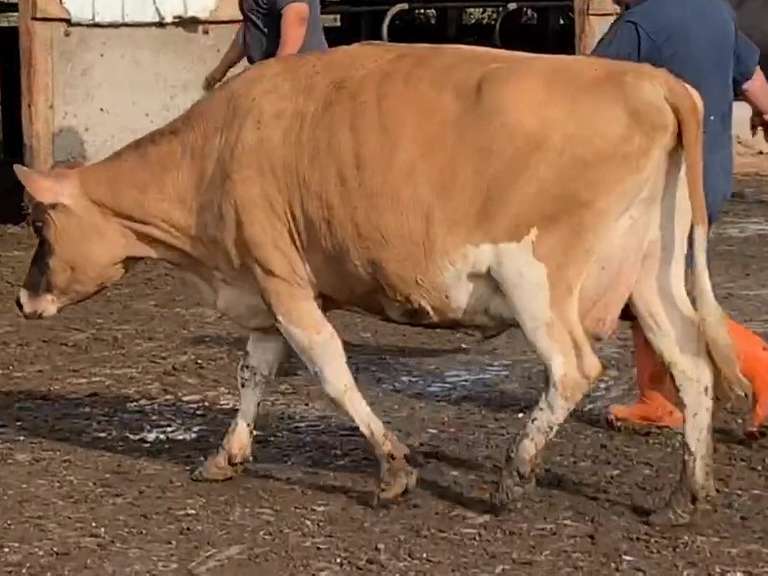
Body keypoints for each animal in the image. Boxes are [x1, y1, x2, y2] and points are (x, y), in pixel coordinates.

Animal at [11, 41, 751, 525]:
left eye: (40, 224)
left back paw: (514, 477)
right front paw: (226, 455)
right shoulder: (263, 291)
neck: (214, 154)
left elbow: (332, 372)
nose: (22, 298)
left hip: (539, 277)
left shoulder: (282, 278)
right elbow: (253, 375)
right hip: (651, 272)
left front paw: (394, 468)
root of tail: (653, 81)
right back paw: (685, 494)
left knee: (574, 367)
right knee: (692, 363)